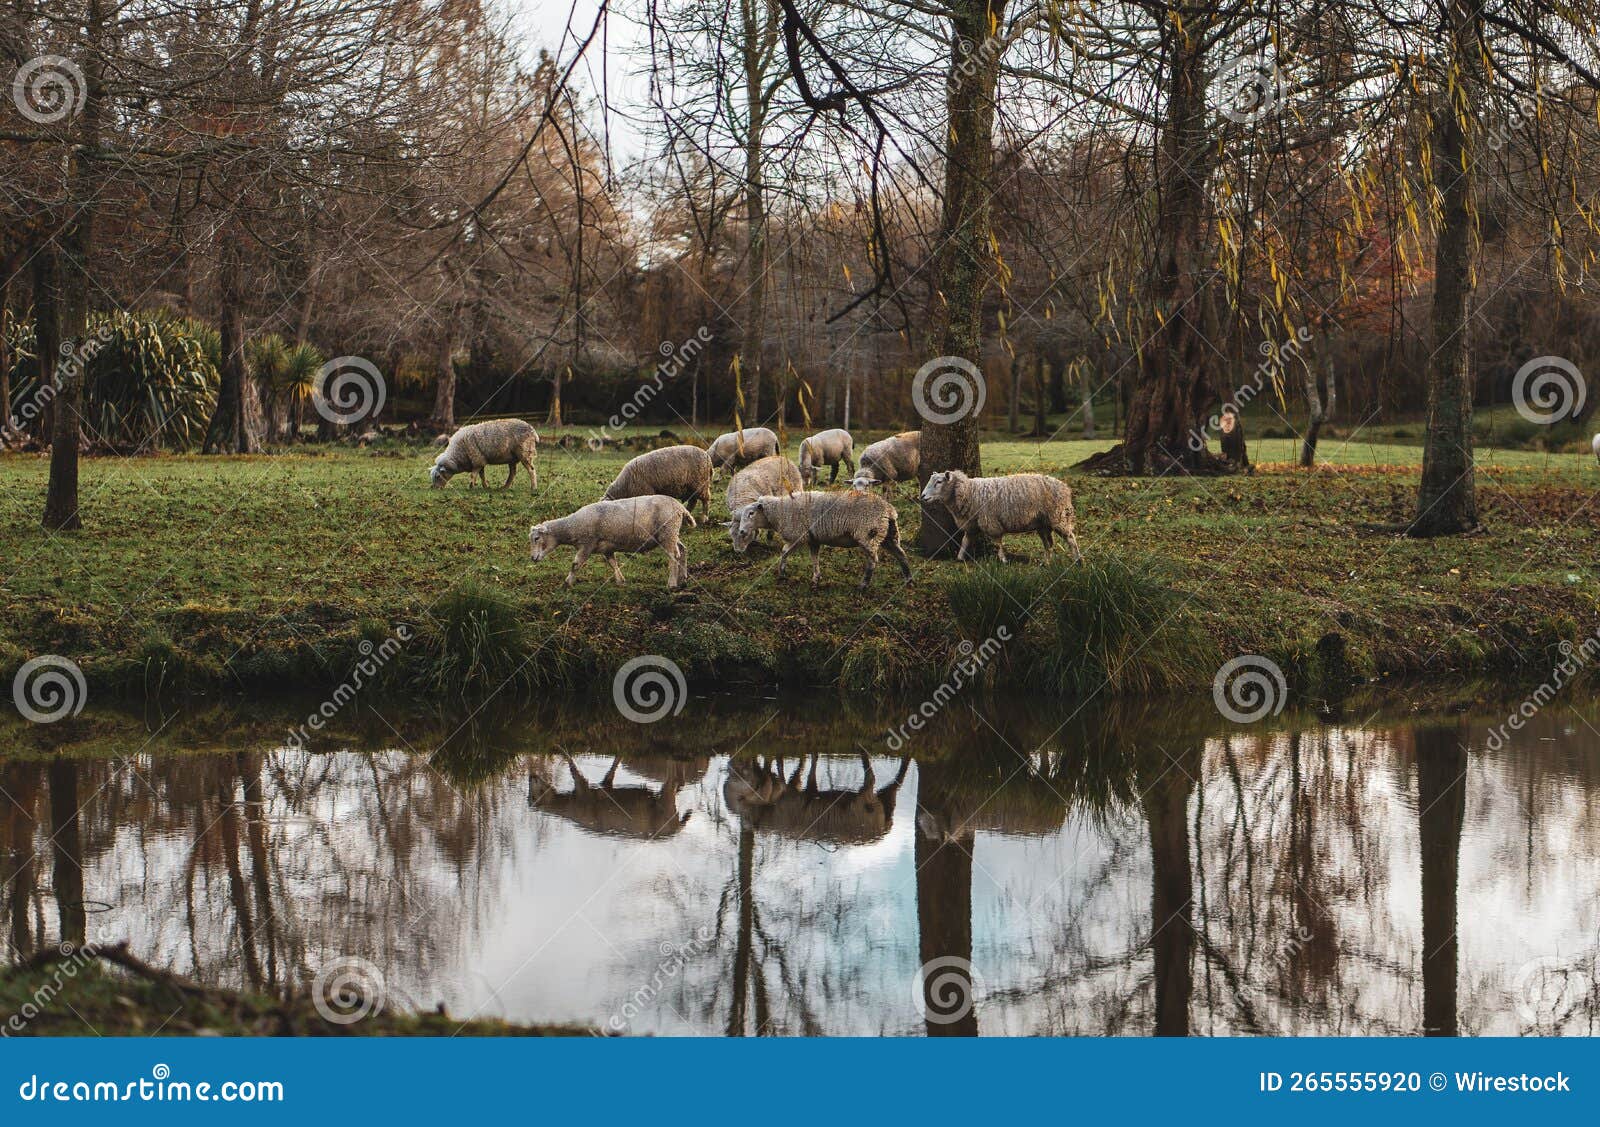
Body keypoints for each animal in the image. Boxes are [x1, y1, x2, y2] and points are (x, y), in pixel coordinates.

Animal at [529, 495, 695, 588]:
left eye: (537, 538)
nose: (532, 558)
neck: (571, 527)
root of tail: (680, 507)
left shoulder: (587, 543)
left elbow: (575, 564)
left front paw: (567, 583)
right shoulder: (606, 548)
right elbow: (613, 563)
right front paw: (620, 580)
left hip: (668, 532)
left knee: (674, 556)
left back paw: (672, 583)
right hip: (672, 533)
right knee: (683, 550)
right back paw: (683, 579)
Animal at [730, 489, 913, 589]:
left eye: (751, 513)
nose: (742, 531)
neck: (778, 511)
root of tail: (888, 510)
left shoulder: (797, 536)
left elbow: (783, 552)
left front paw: (782, 574)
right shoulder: (813, 539)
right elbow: (814, 558)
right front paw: (816, 578)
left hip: (868, 534)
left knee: (873, 561)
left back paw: (863, 585)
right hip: (889, 535)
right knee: (901, 554)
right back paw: (908, 579)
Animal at [920, 469, 1083, 564]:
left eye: (939, 482)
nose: (922, 496)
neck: (969, 492)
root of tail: (1065, 487)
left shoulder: (991, 522)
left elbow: (998, 542)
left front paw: (1003, 559)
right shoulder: (972, 523)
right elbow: (966, 540)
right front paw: (960, 557)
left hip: (1058, 516)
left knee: (1071, 538)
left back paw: (1078, 561)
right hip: (1043, 523)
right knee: (1048, 543)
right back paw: (1046, 562)